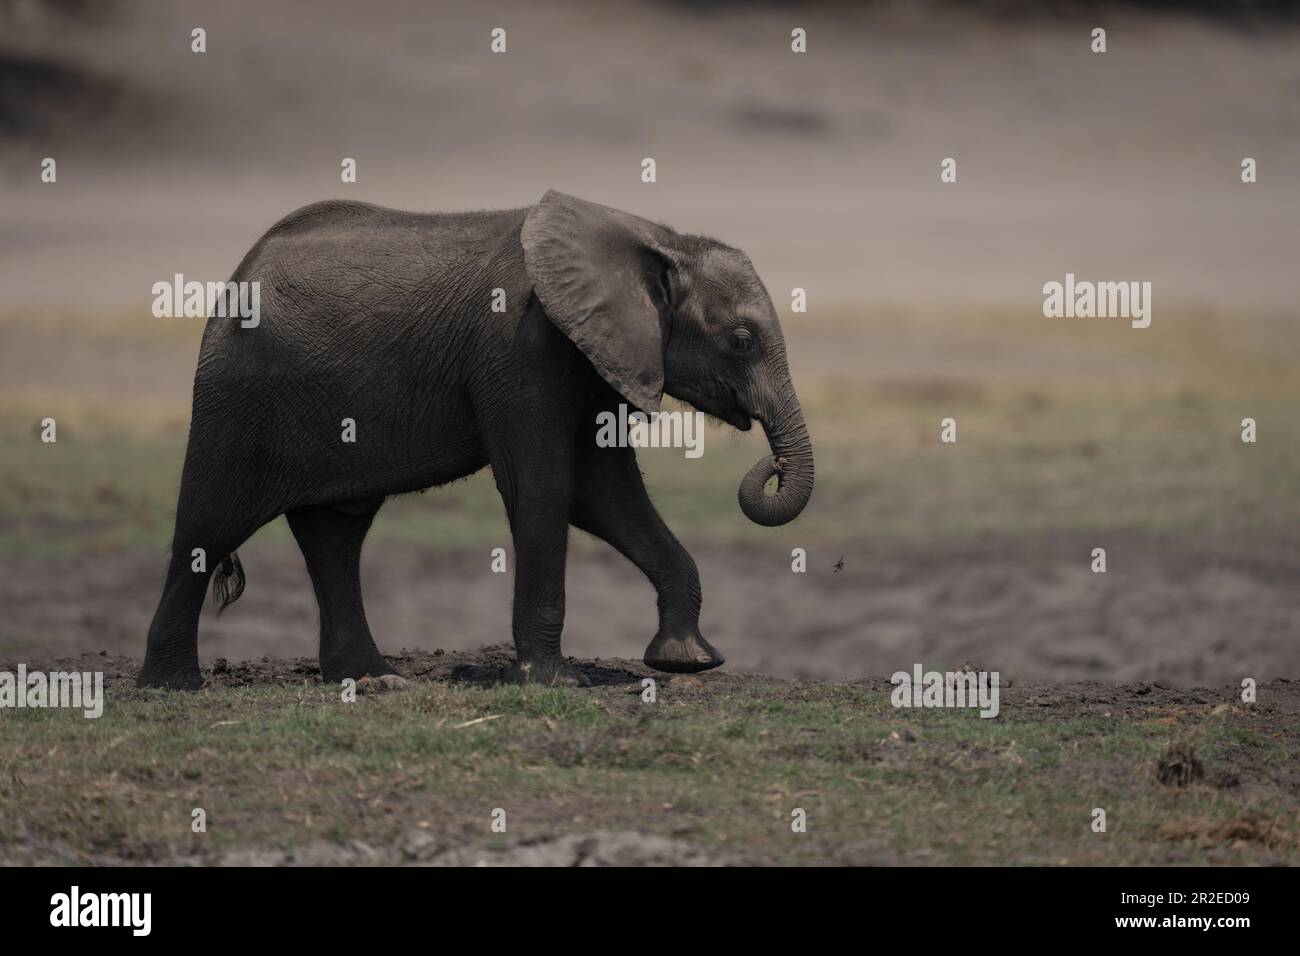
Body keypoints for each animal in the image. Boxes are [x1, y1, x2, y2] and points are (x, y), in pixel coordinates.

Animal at [137, 190, 814, 689]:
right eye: (742, 340)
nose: (768, 466)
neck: (654, 239)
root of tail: (238, 275)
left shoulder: (600, 355)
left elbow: (603, 495)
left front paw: (685, 660)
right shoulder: (519, 348)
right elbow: (545, 490)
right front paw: (552, 681)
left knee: (335, 537)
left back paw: (375, 680)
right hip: (235, 396)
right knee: (208, 526)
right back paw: (174, 686)